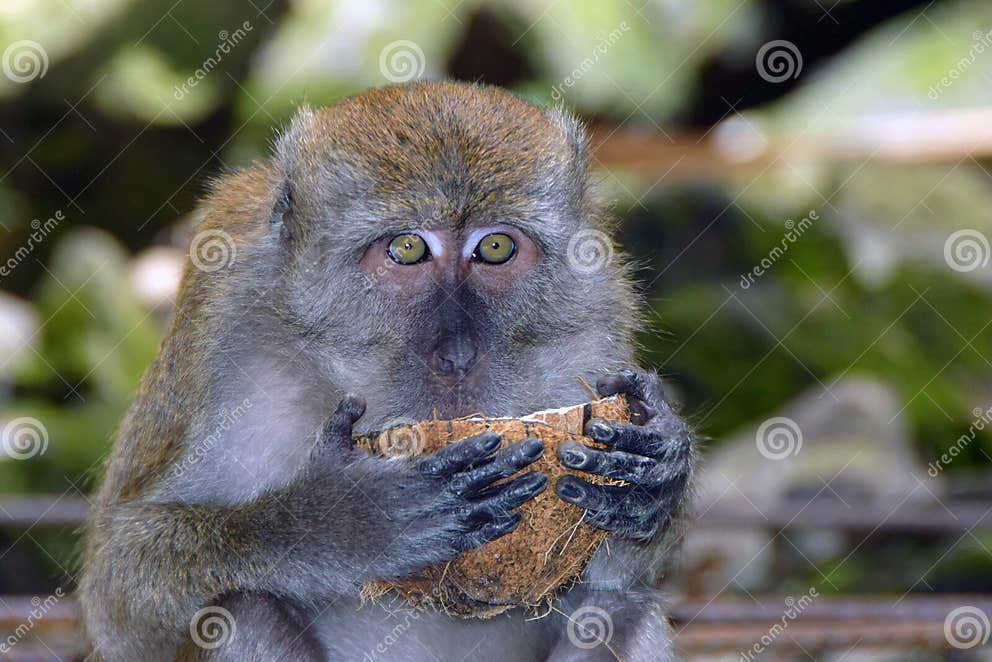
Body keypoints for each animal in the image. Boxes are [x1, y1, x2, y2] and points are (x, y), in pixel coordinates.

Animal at [79, 81, 695, 662]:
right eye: (407, 248)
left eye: (495, 247)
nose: (458, 353)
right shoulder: (223, 328)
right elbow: (119, 592)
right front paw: (336, 522)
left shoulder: (596, 319)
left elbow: (615, 576)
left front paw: (657, 478)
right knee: (241, 613)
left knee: (622, 612)